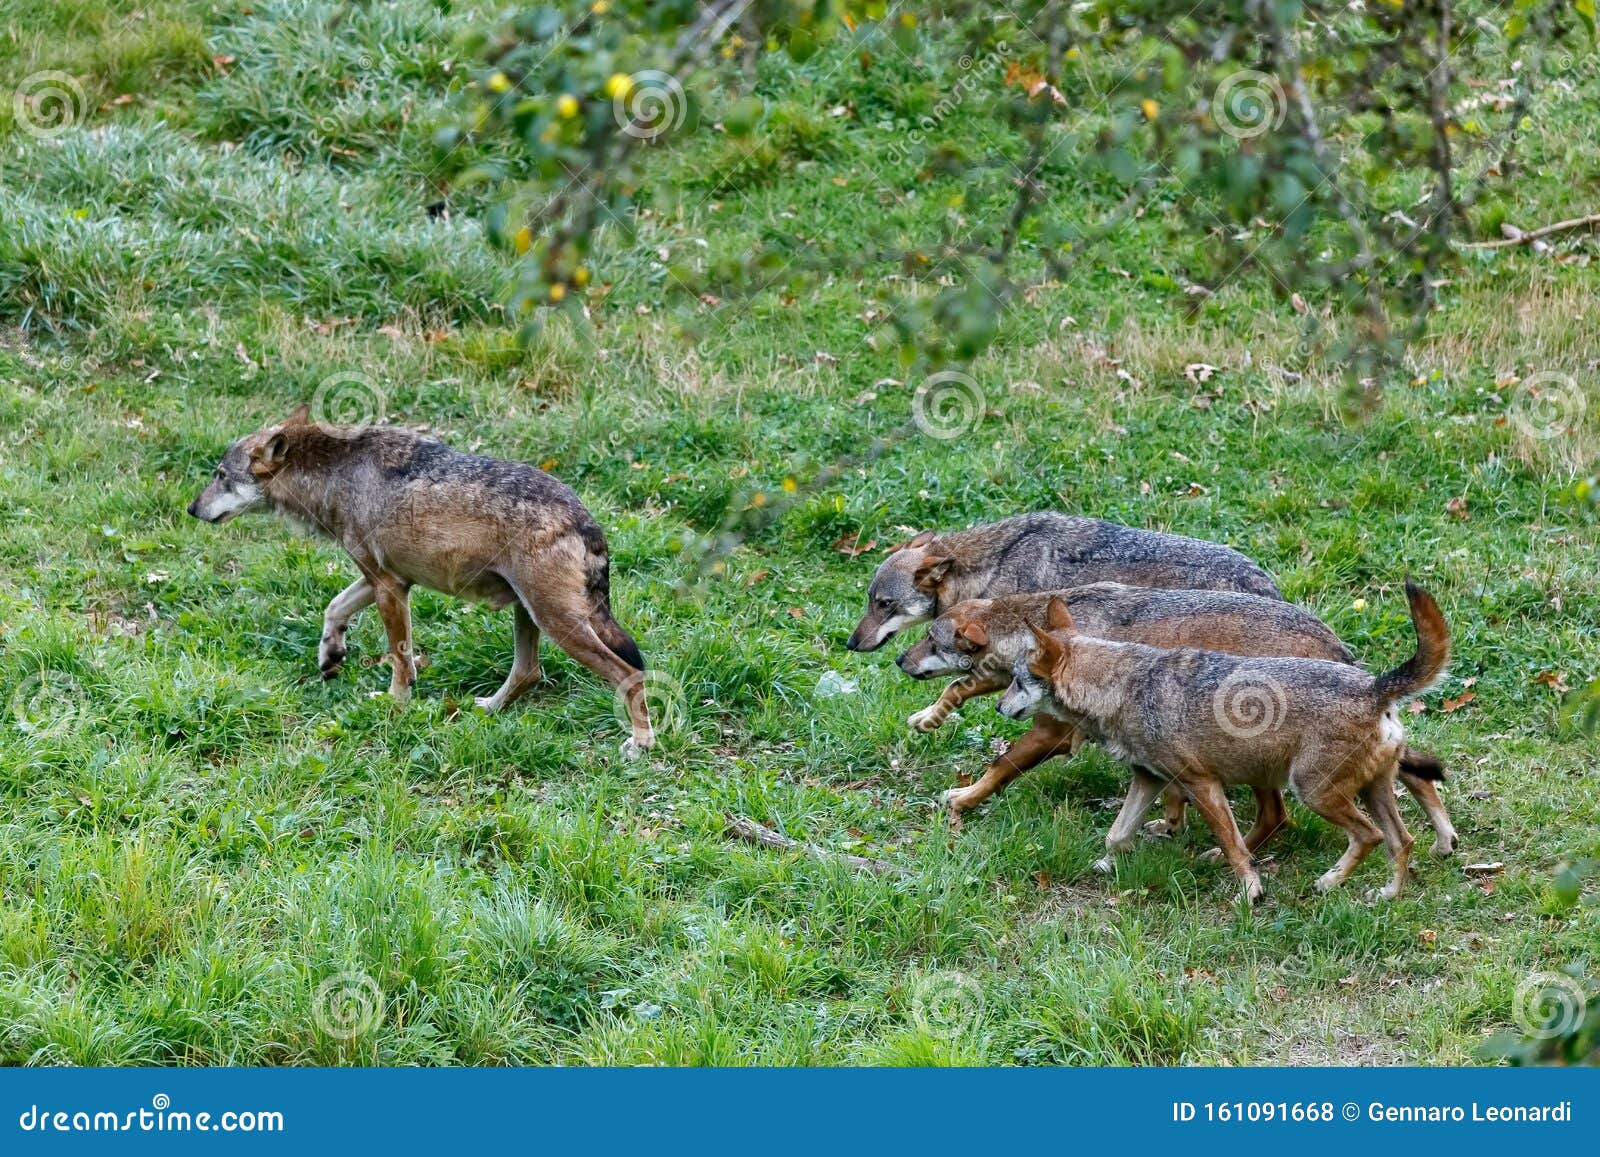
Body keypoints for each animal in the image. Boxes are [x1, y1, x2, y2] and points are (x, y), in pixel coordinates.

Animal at [187, 407, 654, 756]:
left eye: (220, 475)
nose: (192, 510)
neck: (335, 474)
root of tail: (585, 519)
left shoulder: (389, 588)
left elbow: (400, 658)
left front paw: (396, 703)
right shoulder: (382, 579)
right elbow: (333, 608)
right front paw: (331, 656)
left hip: (559, 624)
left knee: (629, 673)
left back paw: (641, 743)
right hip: (530, 615)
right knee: (529, 672)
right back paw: (487, 709)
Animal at [896, 584, 1456, 855]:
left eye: (929, 639)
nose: (899, 660)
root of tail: (1335, 642)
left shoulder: (1051, 732)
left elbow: (999, 768)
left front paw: (962, 800)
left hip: (1276, 769)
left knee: (1285, 815)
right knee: (1413, 775)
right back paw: (1443, 841)